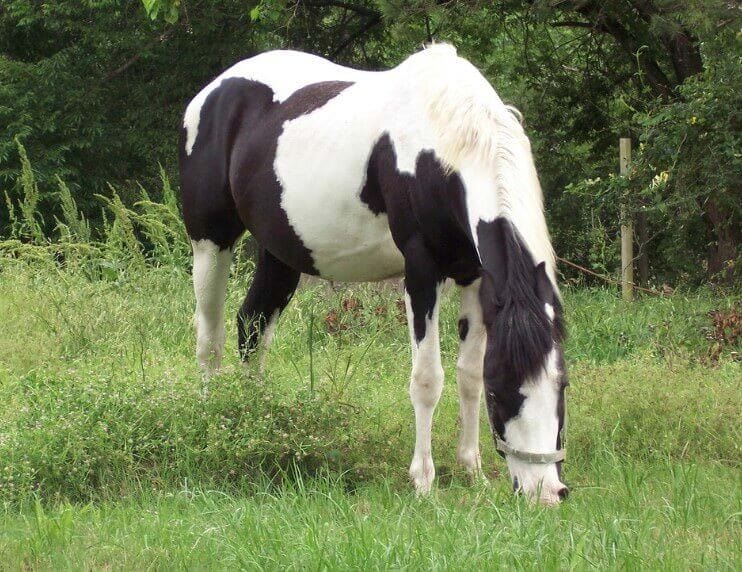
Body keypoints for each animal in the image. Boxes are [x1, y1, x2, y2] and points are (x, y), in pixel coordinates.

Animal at [179, 44, 568, 504]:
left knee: (253, 327)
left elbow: (468, 374)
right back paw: (215, 423)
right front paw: (423, 481)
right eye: (502, 391)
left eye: (562, 385)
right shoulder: (421, 273)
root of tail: (210, 93)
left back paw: (253, 421)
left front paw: (471, 471)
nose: (546, 492)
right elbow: (427, 379)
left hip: (280, 254)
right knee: (211, 338)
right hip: (210, 242)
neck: (442, 144)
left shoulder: (473, 277)